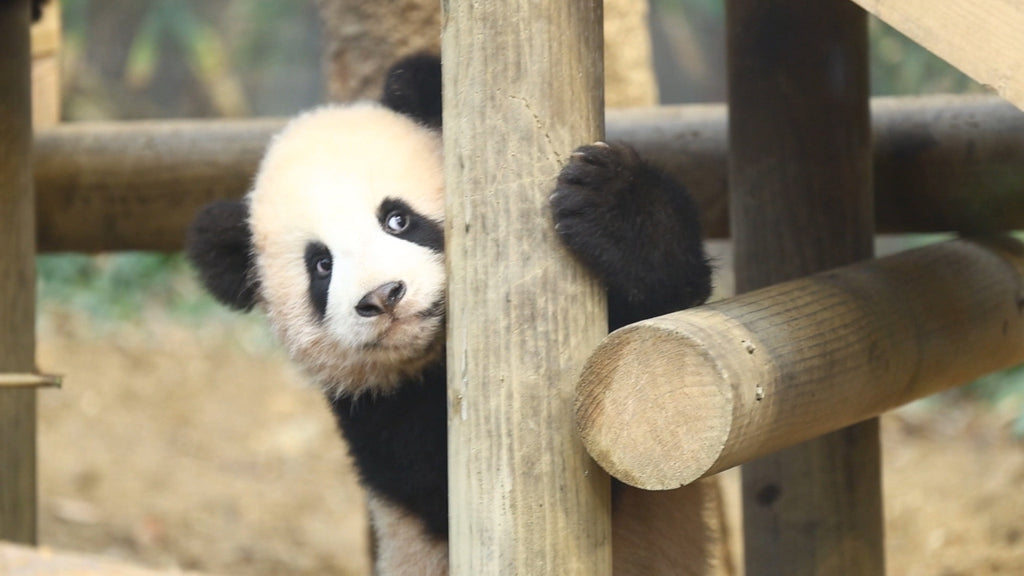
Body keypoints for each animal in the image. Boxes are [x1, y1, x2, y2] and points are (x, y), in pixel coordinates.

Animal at [186, 54, 726, 575]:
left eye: (397, 219)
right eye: (321, 265)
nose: (383, 296)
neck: (432, 357)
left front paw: (607, 198)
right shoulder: (376, 416)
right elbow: (452, 483)